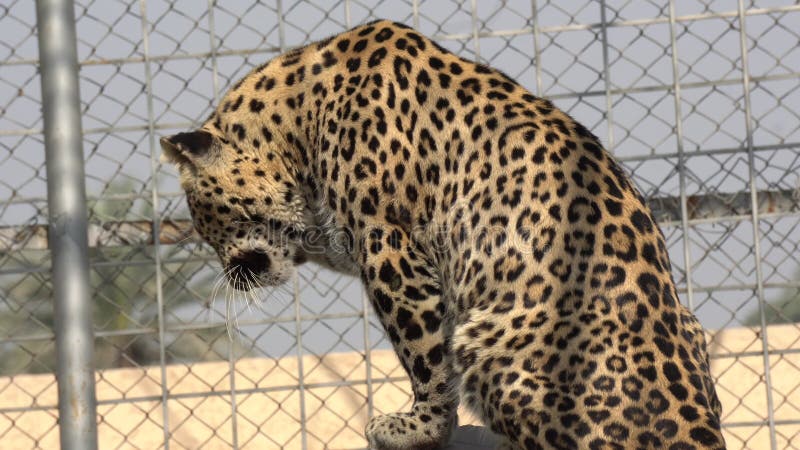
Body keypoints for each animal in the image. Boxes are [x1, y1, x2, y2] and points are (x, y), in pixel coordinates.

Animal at [160, 20, 726, 450]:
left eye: (204, 219)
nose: (229, 275)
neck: (297, 123)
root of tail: (695, 428)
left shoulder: (387, 241)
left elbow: (423, 350)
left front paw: (418, 428)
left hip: (492, 341)